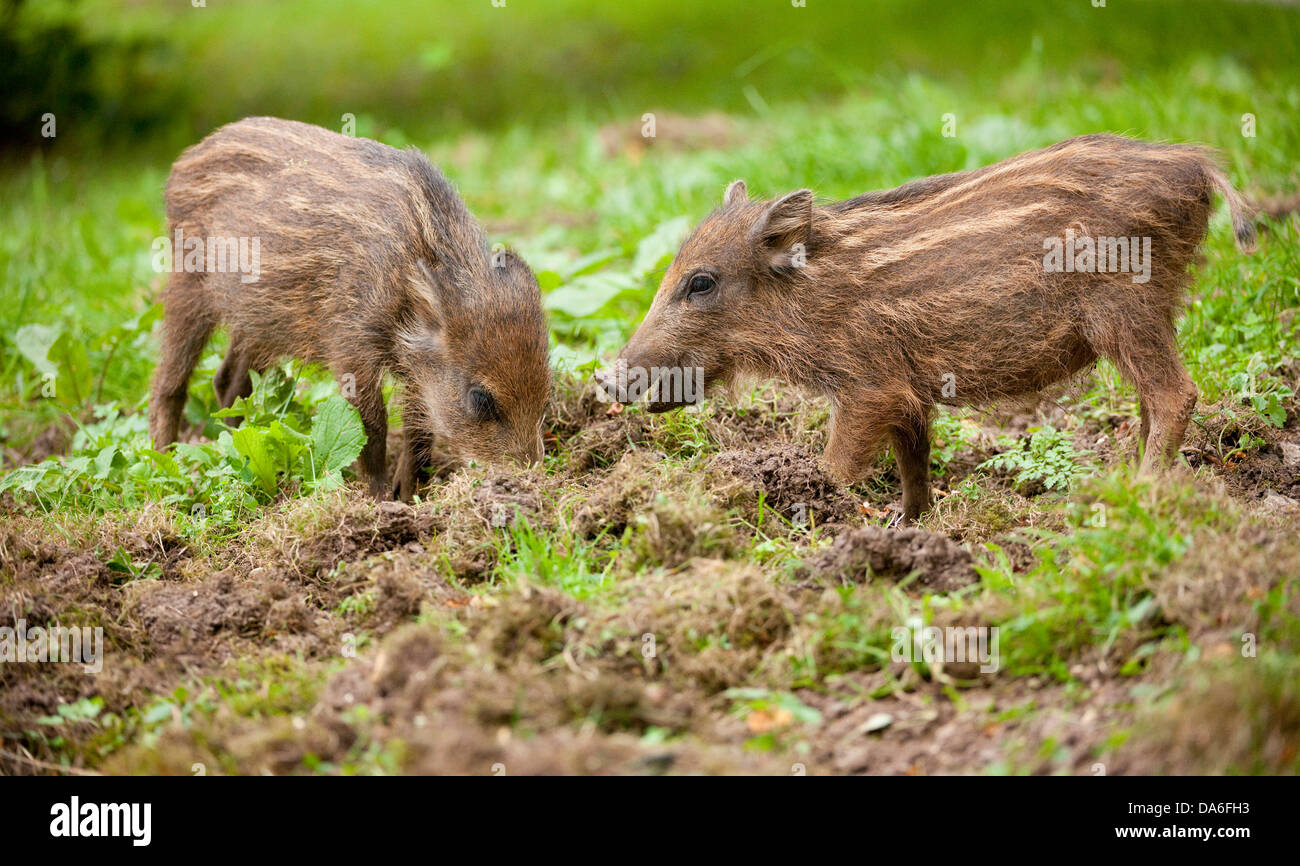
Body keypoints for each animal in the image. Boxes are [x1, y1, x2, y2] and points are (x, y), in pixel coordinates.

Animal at [149, 117, 551, 499]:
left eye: (547, 395)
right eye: (480, 398)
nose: (531, 477)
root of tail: (185, 159)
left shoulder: (417, 369)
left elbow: (419, 428)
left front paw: (409, 496)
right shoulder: (352, 347)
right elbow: (371, 426)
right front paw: (379, 499)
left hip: (259, 319)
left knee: (229, 382)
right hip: (188, 285)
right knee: (170, 382)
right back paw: (165, 461)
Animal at [599, 134, 1256, 523]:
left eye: (701, 283)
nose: (606, 380)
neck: (812, 298)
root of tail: (1196, 163)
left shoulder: (869, 385)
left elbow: (838, 464)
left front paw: (811, 510)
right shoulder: (908, 389)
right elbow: (913, 459)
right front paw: (905, 525)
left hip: (1125, 307)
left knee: (1176, 394)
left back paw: (1139, 493)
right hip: (1151, 308)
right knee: (1153, 400)